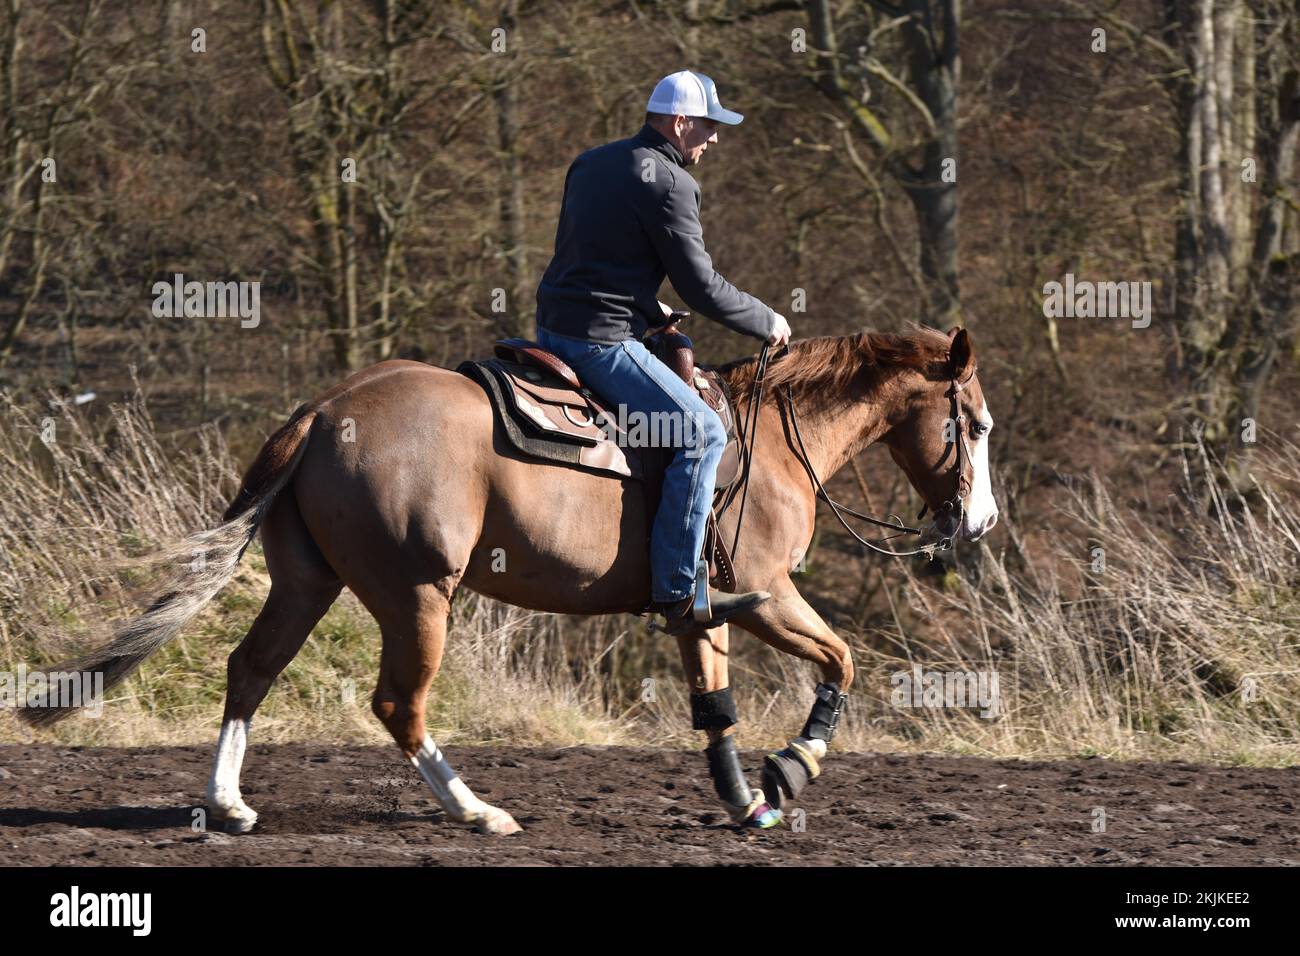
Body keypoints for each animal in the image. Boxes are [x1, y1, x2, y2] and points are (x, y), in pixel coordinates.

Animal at [23, 325, 998, 833]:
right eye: (978, 424)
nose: (979, 523)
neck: (770, 441)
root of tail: (326, 411)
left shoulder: (704, 609)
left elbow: (714, 707)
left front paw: (746, 801)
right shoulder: (769, 595)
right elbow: (839, 662)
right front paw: (792, 768)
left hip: (308, 584)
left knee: (250, 668)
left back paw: (226, 804)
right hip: (418, 596)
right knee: (397, 705)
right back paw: (476, 811)